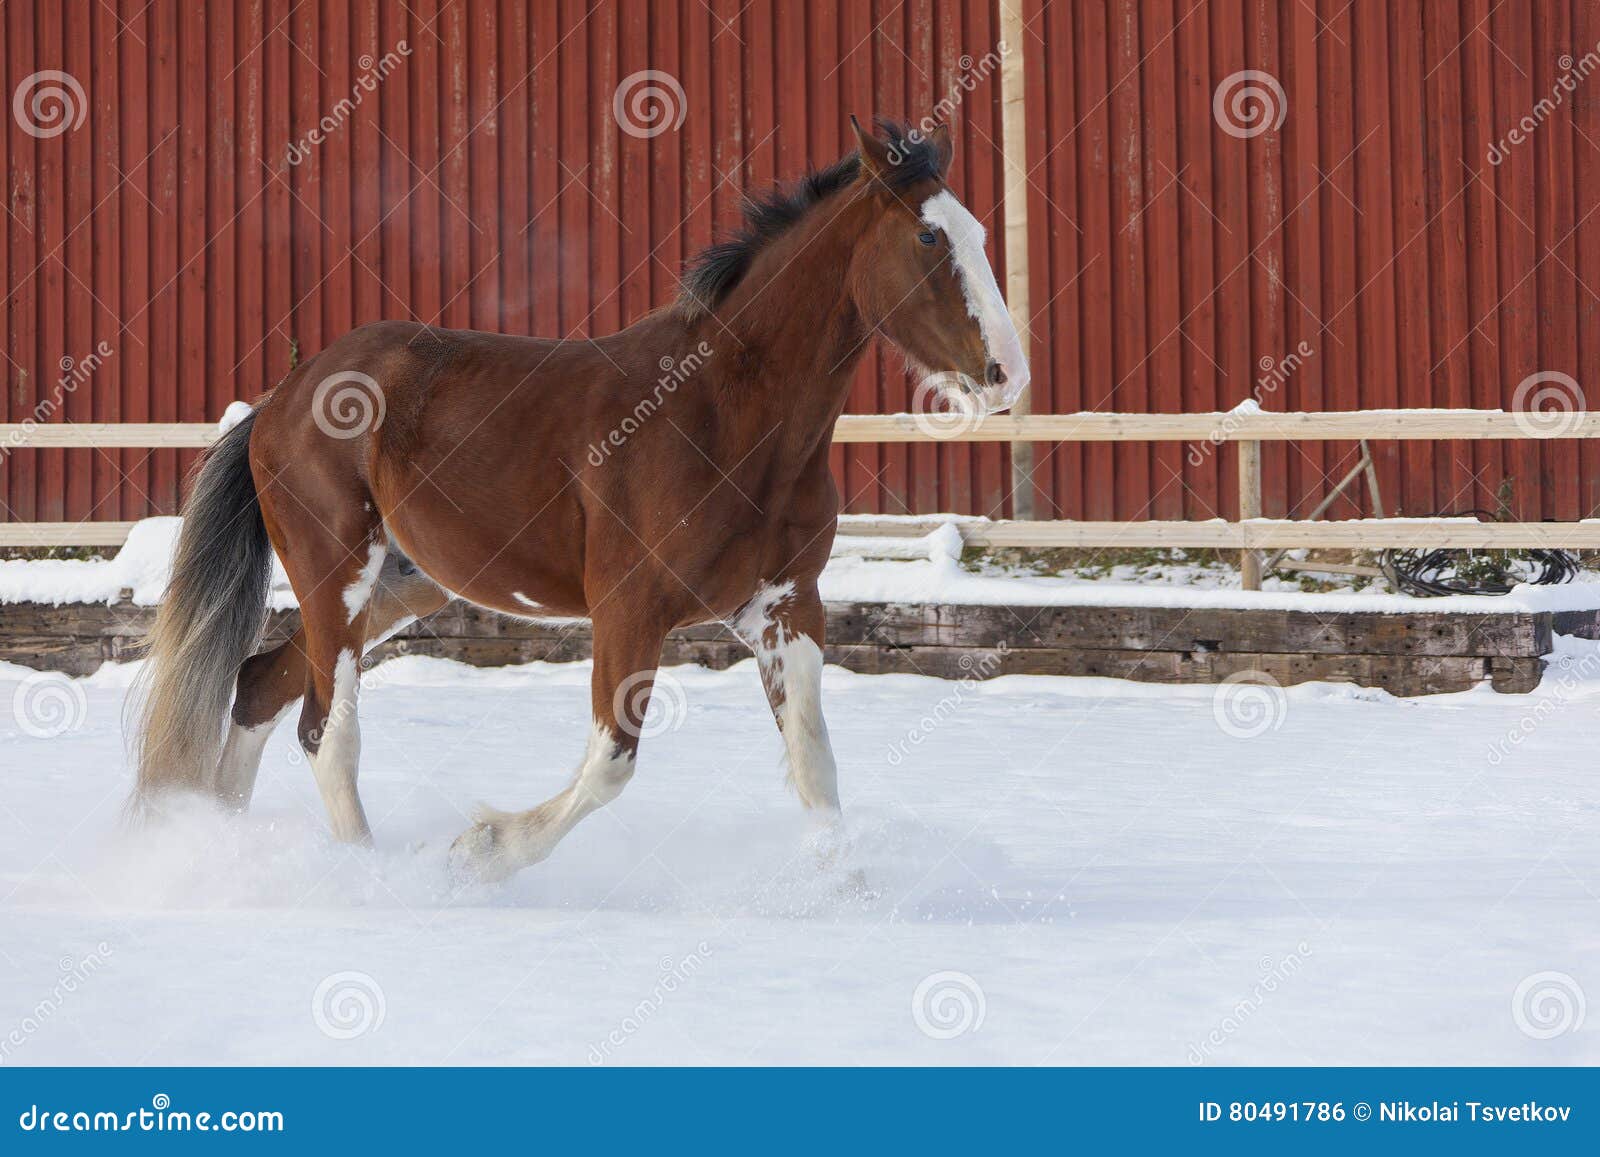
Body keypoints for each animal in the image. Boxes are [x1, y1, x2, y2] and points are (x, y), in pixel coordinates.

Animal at [128, 117, 1028, 882]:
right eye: (927, 236)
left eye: (982, 235)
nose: (1006, 376)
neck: (724, 416)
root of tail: (278, 402)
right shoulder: (630, 607)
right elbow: (609, 766)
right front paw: (482, 849)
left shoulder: (783, 605)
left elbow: (815, 764)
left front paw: (847, 891)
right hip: (335, 574)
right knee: (327, 729)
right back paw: (365, 874)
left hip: (400, 586)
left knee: (259, 684)